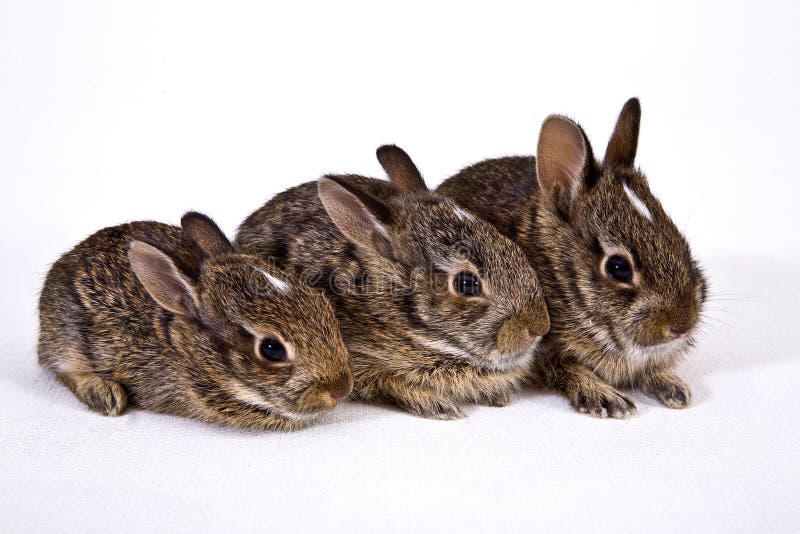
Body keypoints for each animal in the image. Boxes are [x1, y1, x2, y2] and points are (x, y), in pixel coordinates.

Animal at [37, 212, 353, 431]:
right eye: (272, 349)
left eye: (323, 305)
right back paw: (105, 395)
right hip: (66, 340)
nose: (340, 390)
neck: (188, 348)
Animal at [437, 98, 708, 418]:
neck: (556, 270)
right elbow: (568, 370)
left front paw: (674, 387)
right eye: (618, 268)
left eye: (680, 240)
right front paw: (607, 399)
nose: (682, 325)